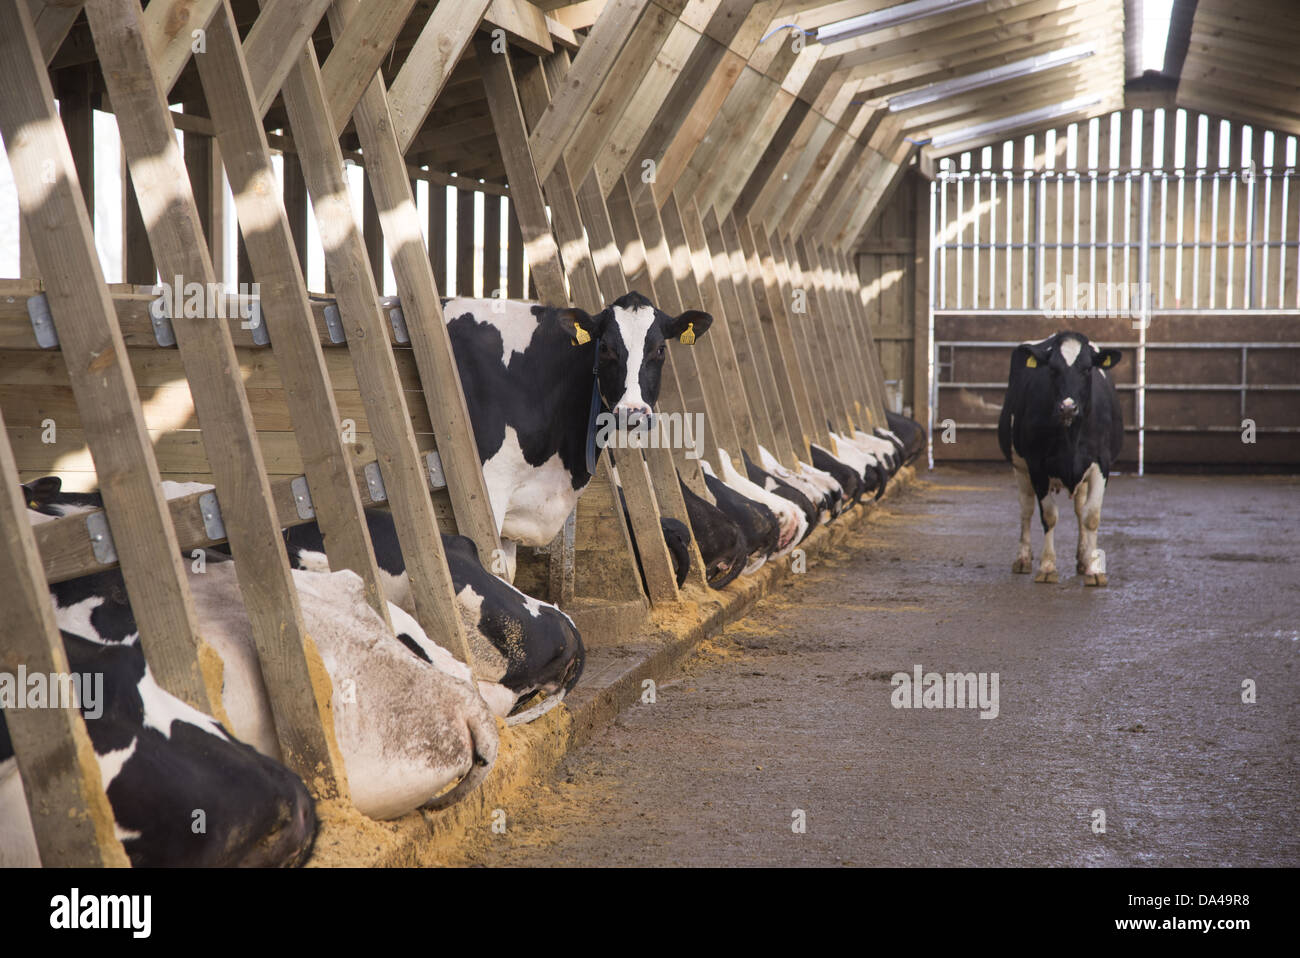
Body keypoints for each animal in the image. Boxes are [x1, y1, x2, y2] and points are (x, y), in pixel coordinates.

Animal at [997, 331, 1124, 586]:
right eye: (1053, 370)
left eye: (1087, 369)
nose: (1068, 407)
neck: (1071, 435)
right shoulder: (1037, 466)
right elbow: (1049, 515)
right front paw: (1047, 567)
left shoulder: (1101, 465)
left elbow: (1091, 516)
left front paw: (1094, 570)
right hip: (1019, 467)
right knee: (1026, 509)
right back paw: (1023, 558)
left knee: (1079, 510)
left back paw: (1083, 558)